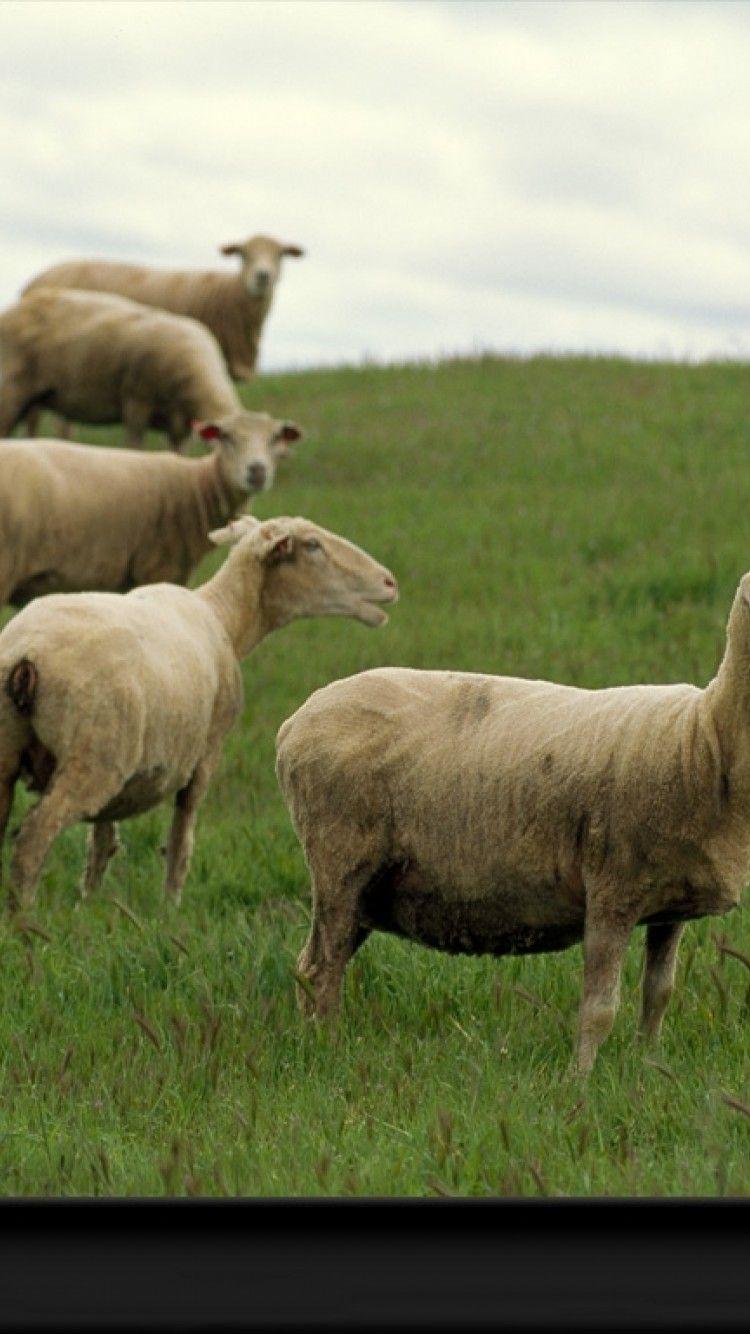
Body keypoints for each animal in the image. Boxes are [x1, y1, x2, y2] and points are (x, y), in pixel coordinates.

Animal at [0, 287, 297, 450]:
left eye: (274, 446)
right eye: (229, 440)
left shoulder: (180, 424)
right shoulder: (136, 401)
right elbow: (135, 447)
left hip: (31, 398)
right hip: (10, 391)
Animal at [0, 514, 398, 911]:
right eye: (313, 545)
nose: (389, 582)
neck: (225, 617)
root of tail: (27, 652)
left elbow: (102, 839)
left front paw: (91, 900)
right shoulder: (206, 752)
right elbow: (181, 839)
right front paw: (170, 907)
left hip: (18, 752)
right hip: (94, 756)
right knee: (33, 839)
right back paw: (24, 915)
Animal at [276, 572, 750, 1074]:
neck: (702, 737)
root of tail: (294, 724)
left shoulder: (668, 904)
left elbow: (658, 995)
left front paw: (648, 1065)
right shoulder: (611, 892)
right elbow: (599, 1009)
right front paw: (579, 1079)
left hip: (368, 887)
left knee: (318, 965)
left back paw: (316, 1044)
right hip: (339, 861)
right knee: (319, 971)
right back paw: (327, 1053)